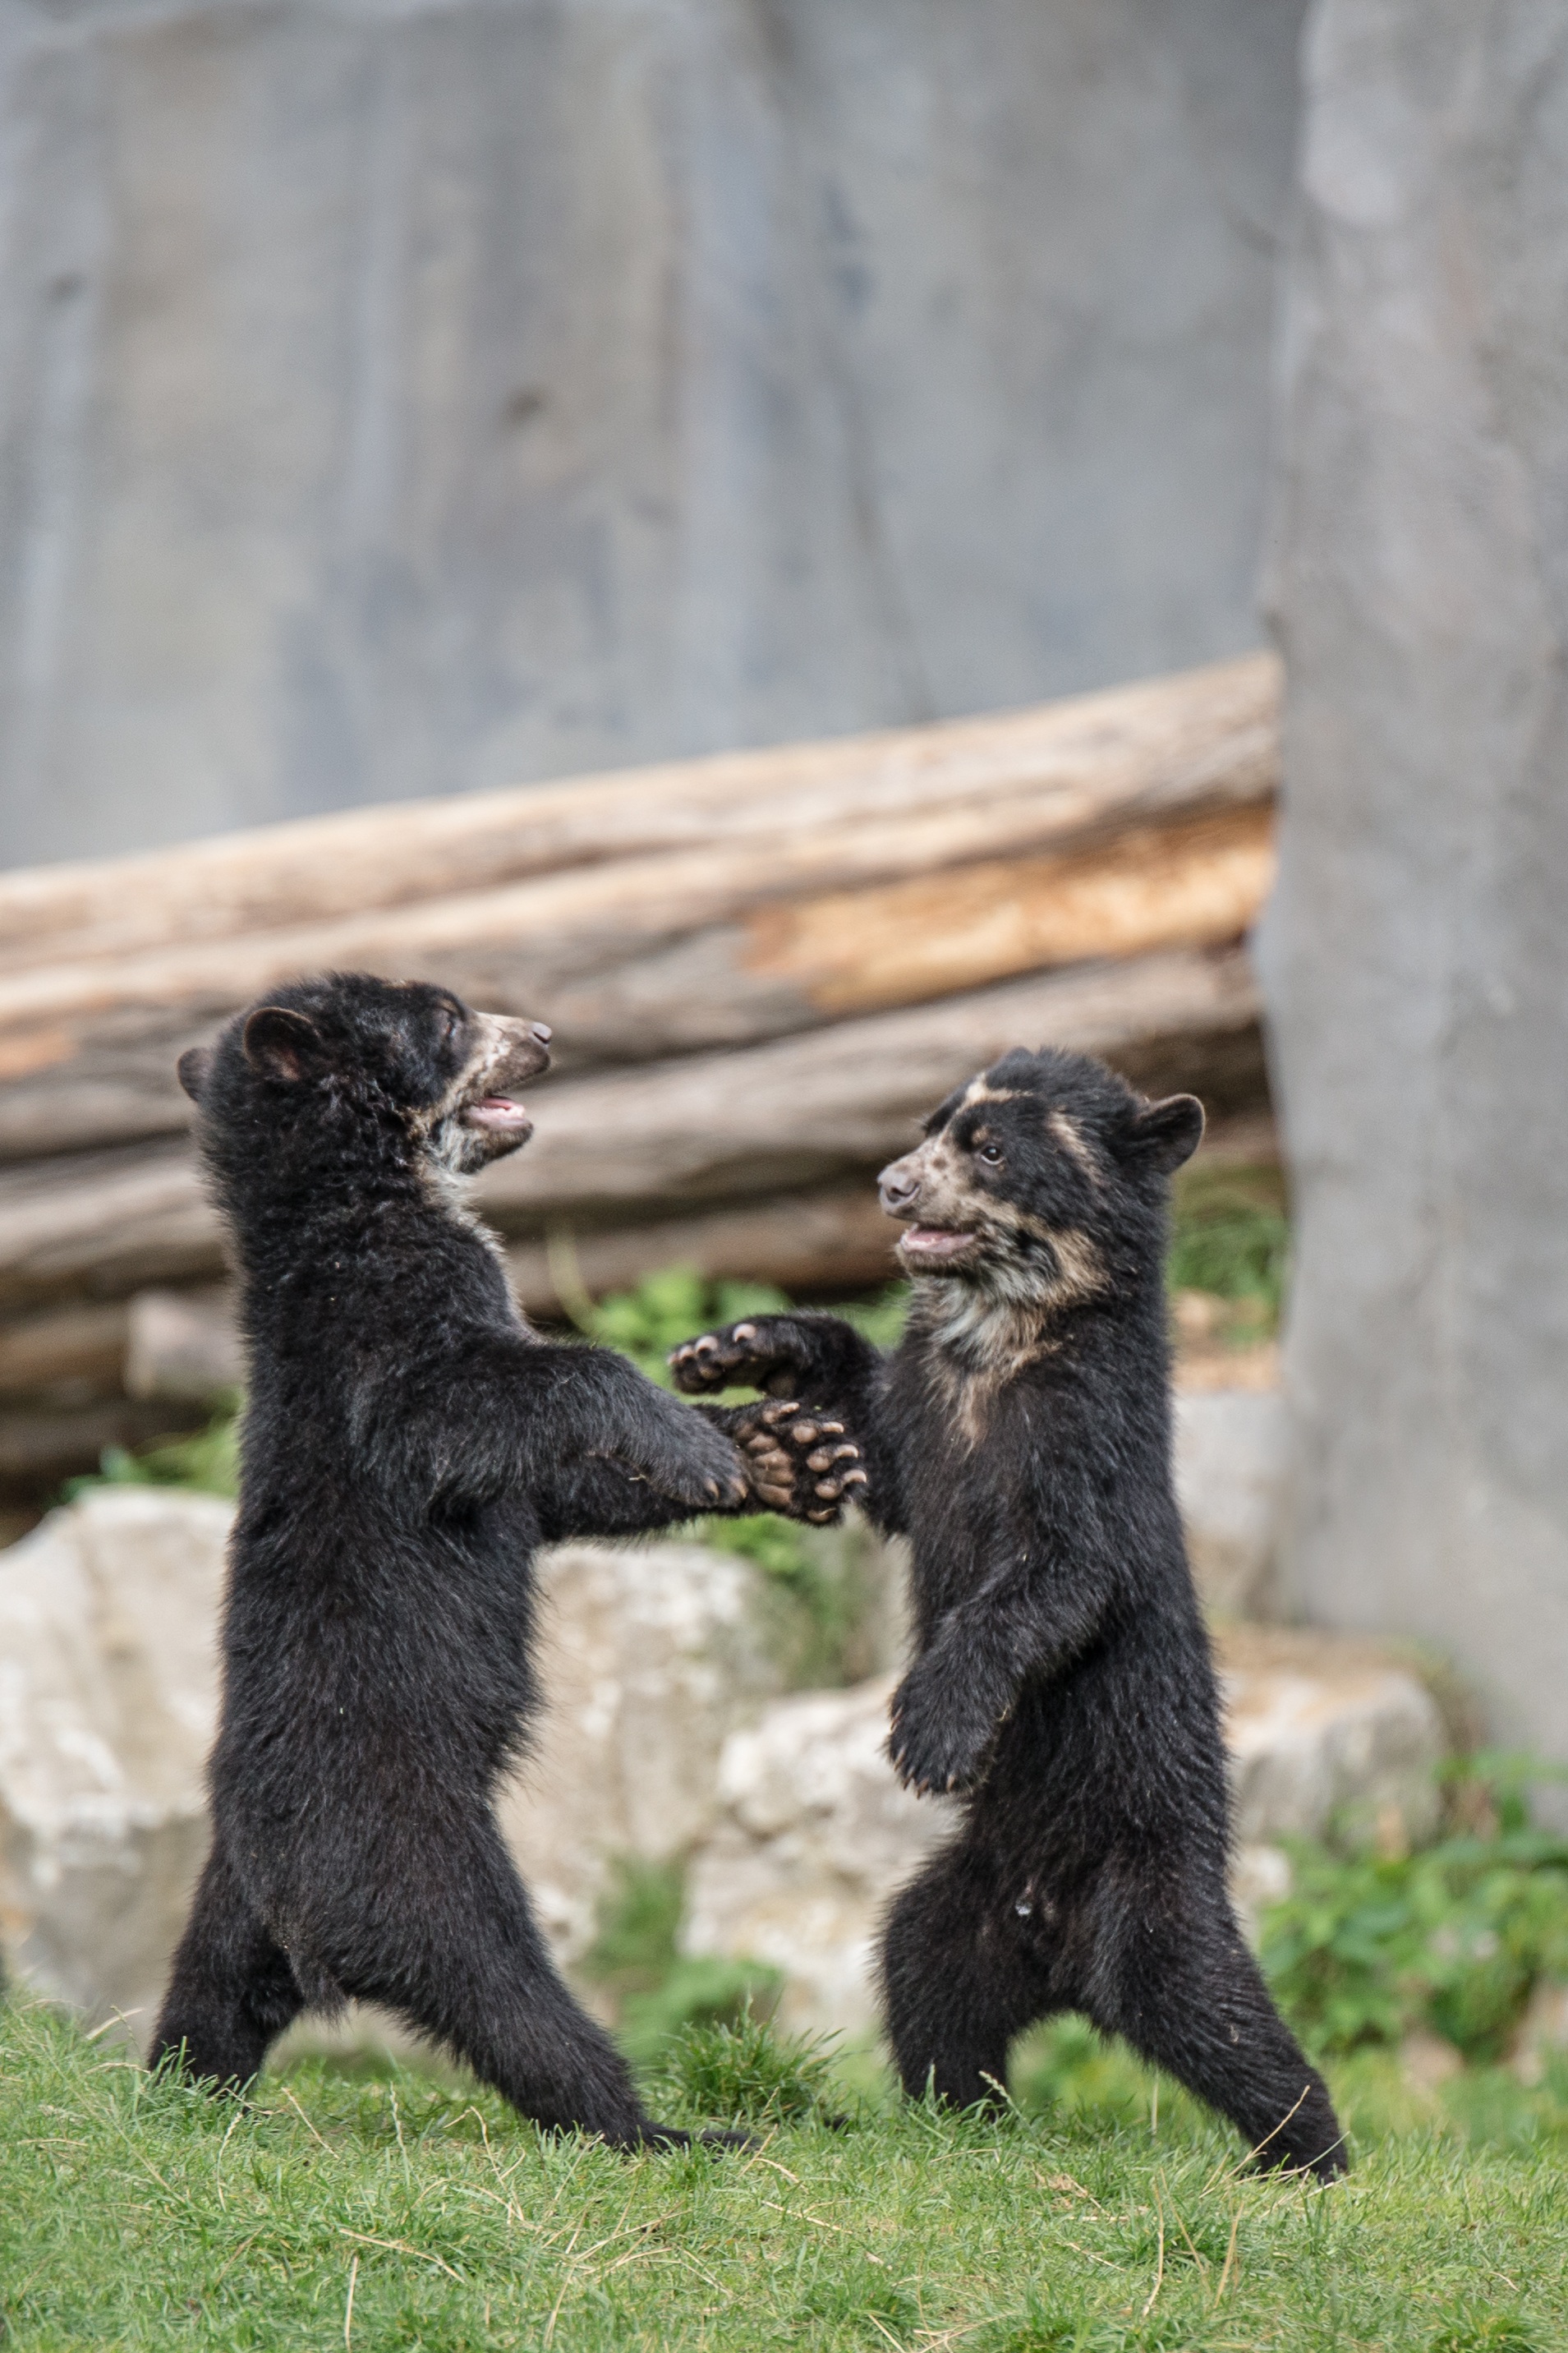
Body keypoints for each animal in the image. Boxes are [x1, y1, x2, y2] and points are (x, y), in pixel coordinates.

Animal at [152, 972, 865, 2149]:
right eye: (444, 1016)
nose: (540, 1031)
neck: (368, 1197)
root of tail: (295, 1909)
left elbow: (547, 1492)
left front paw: (788, 1452)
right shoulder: (383, 1323)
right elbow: (467, 1399)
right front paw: (701, 1446)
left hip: (228, 1903)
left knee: (206, 1994)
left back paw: (177, 2092)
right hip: (417, 1861)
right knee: (513, 2003)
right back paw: (673, 2129)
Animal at [670, 1045, 1346, 2179]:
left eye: (988, 1148)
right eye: (930, 1125)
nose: (892, 1184)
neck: (997, 1341)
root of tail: (1062, 1955)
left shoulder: (1085, 1435)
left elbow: (1060, 1576)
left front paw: (929, 1731)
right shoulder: (925, 1412)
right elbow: (879, 1453)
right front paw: (734, 1347)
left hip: (1151, 1886)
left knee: (1219, 2015)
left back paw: (1309, 2155)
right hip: (963, 1899)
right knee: (923, 1978)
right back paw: (956, 2115)